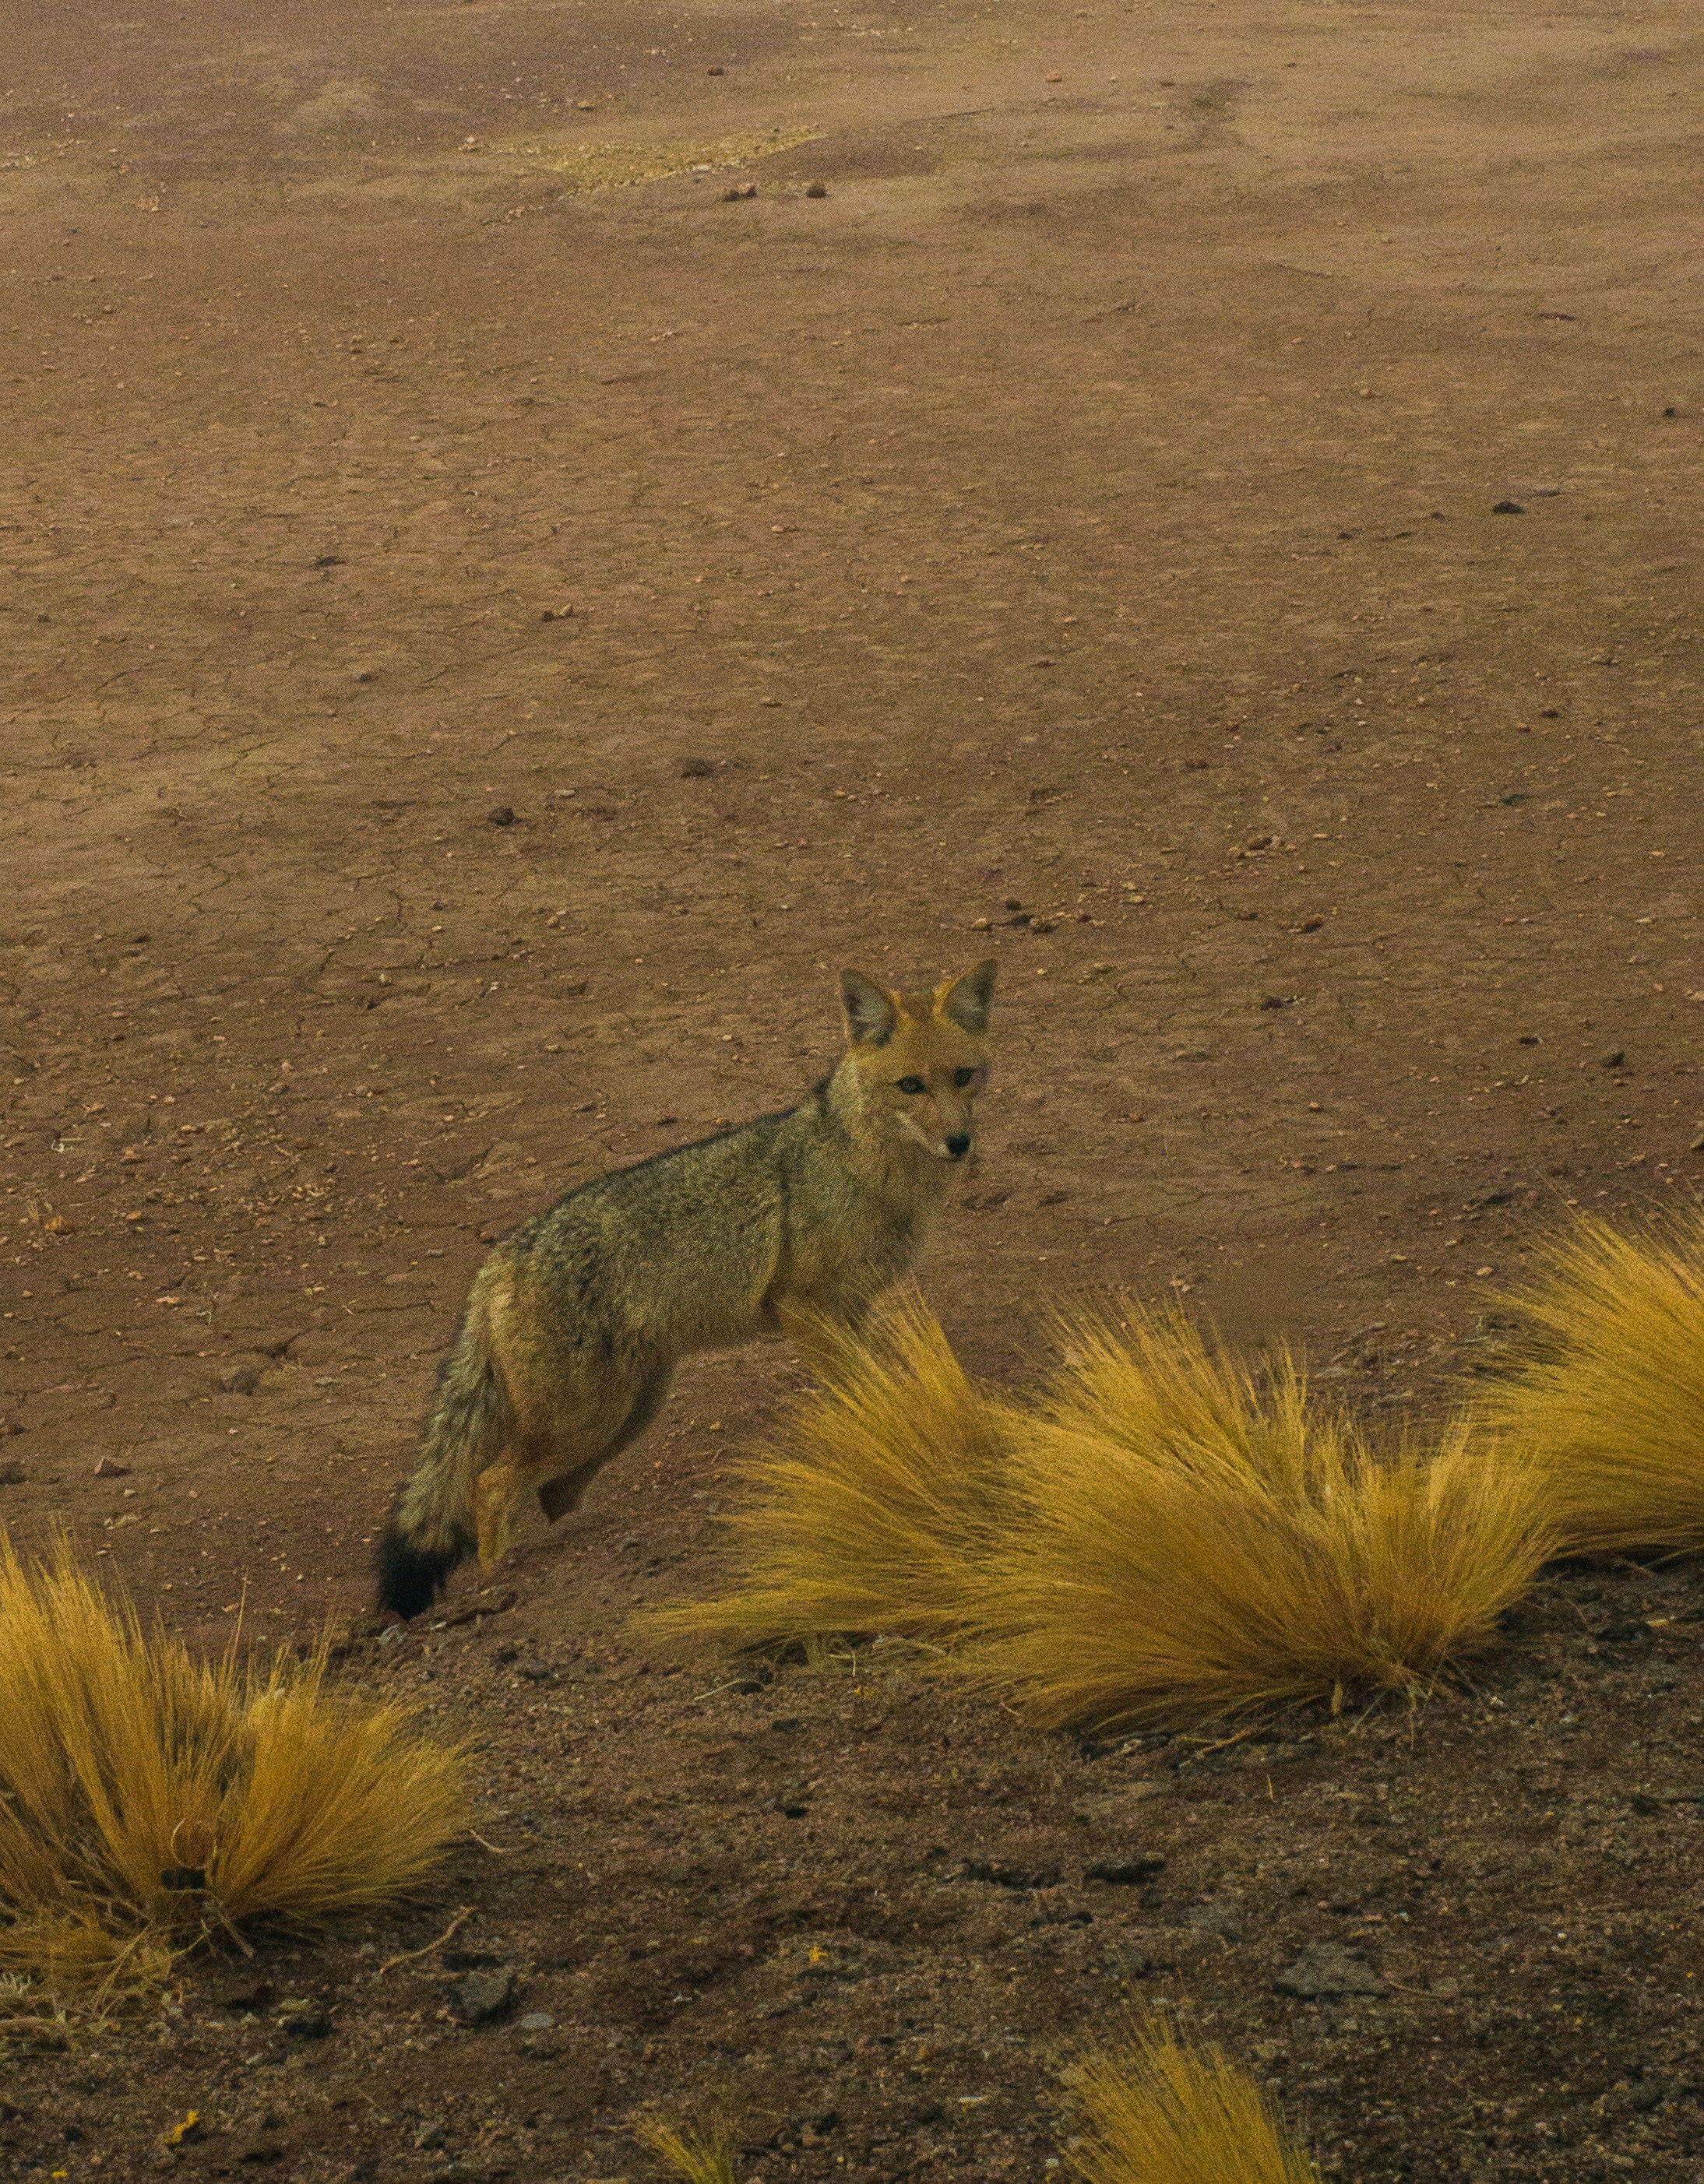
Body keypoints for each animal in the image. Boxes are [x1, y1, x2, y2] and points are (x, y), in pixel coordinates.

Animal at [374, 958, 998, 1618]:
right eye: (910, 1086)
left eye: (963, 1077)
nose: (960, 1143)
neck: (878, 1175)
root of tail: (503, 1255)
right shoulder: (803, 1306)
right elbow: (858, 1390)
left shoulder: (854, 1309)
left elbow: (873, 1385)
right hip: (585, 1422)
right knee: (490, 1485)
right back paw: (498, 1582)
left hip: (623, 1419)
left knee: (549, 1495)